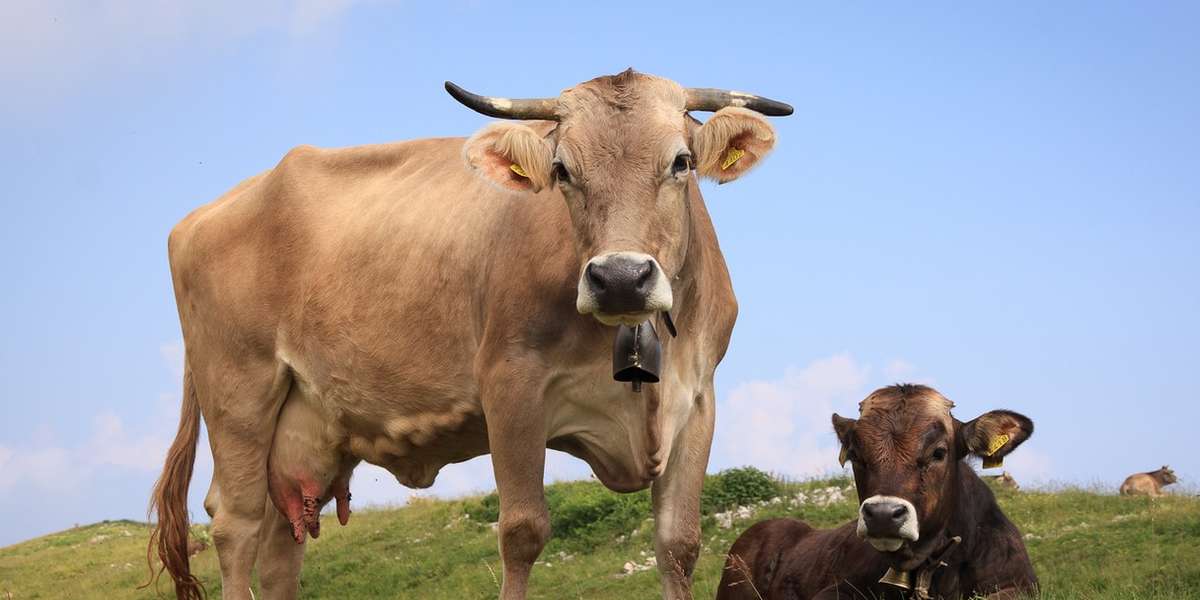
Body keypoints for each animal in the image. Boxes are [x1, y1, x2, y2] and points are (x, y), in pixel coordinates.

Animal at [146, 69, 792, 600]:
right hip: (238, 393)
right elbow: (523, 531)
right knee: (236, 525)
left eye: (681, 162)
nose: (619, 279)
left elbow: (679, 544)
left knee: (283, 544)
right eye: (562, 170)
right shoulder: (511, 385)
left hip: (302, 430)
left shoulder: (697, 400)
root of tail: (207, 212)